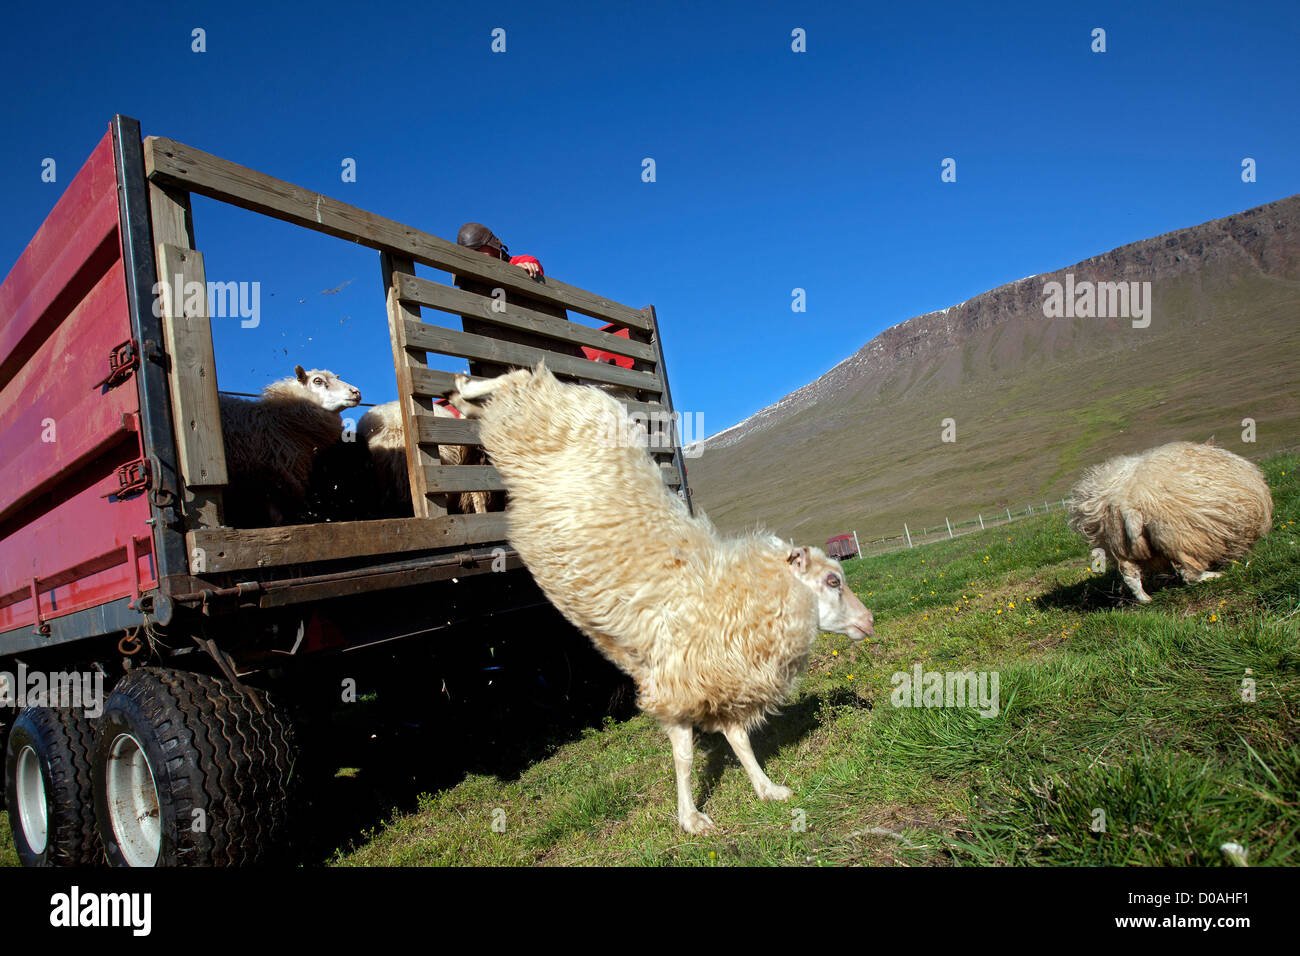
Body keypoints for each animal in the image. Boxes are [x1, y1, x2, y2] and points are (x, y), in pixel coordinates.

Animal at [450, 362, 875, 833]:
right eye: (833, 581)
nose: (869, 621)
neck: (734, 595)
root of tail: (589, 393)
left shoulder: (721, 685)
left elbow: (741, 742)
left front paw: (767, 789)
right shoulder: (675, 688)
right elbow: (685, 757)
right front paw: (691, 818)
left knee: (515, 384)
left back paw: (464, 400)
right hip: (522, 419)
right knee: (516, 379)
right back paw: (464, 388)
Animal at [1067, 440, 1273, 603]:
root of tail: (1126, 502)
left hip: (1115, 542)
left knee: (1130, 575)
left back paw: (1146, 599)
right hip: (1182, 537)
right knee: (1190, 575)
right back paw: (1214, 576)